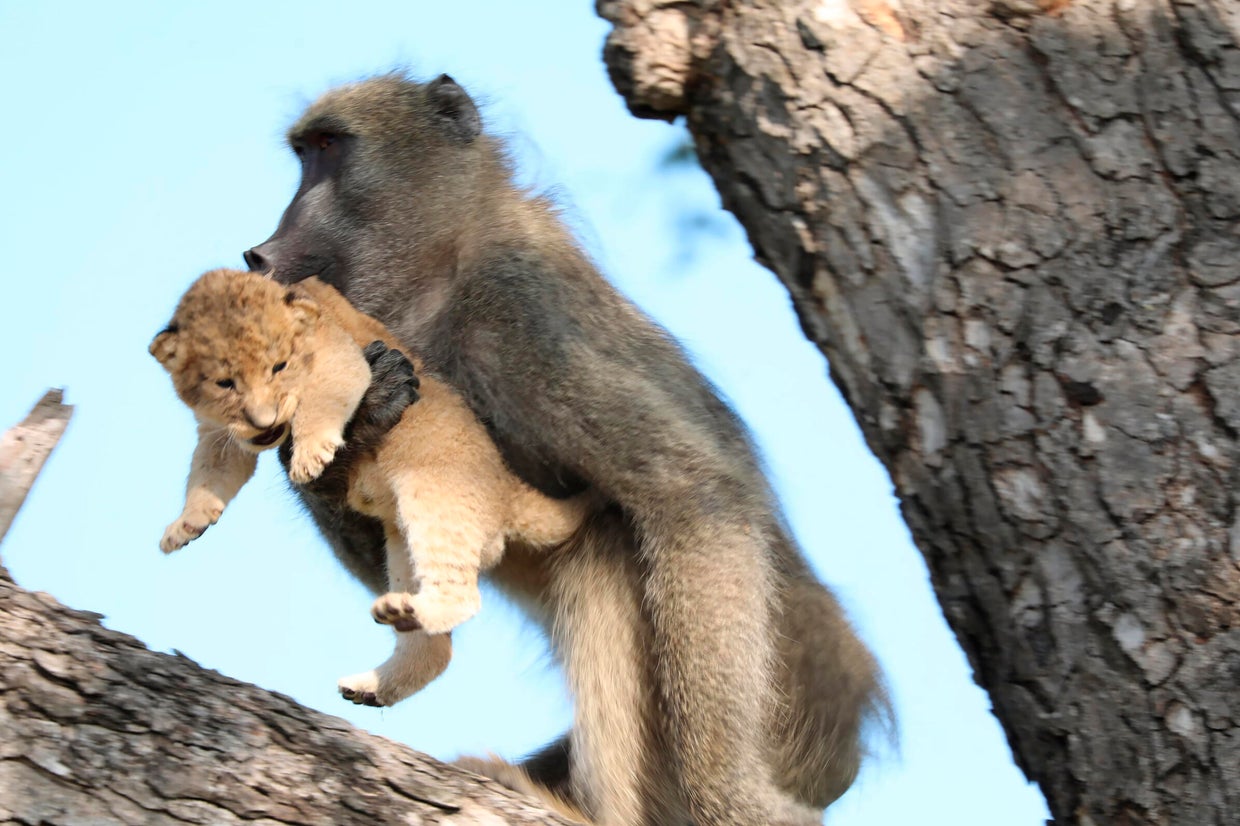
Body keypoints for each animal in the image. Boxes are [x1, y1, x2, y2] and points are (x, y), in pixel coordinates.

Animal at [150, 268, 587, 706]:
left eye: (279, 367)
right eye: (225, 383)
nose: (264, 420)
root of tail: (506, 486)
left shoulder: (341, 359)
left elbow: (322, 400)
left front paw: (311, 455)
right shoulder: (218, 431)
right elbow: (210, 471)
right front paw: (185, 525)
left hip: (433, 499)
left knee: (464, 596)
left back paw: (408, 617)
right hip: (402, 549)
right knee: (437, 648)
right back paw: (375, 678)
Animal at [243, 72, 888, 826]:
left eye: (327, 148)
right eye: (303, 152)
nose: (259, 252)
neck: (443, 270)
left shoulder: (524, 312)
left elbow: (694, 492)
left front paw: (725, 799)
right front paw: (362, 414)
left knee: (607, 543)